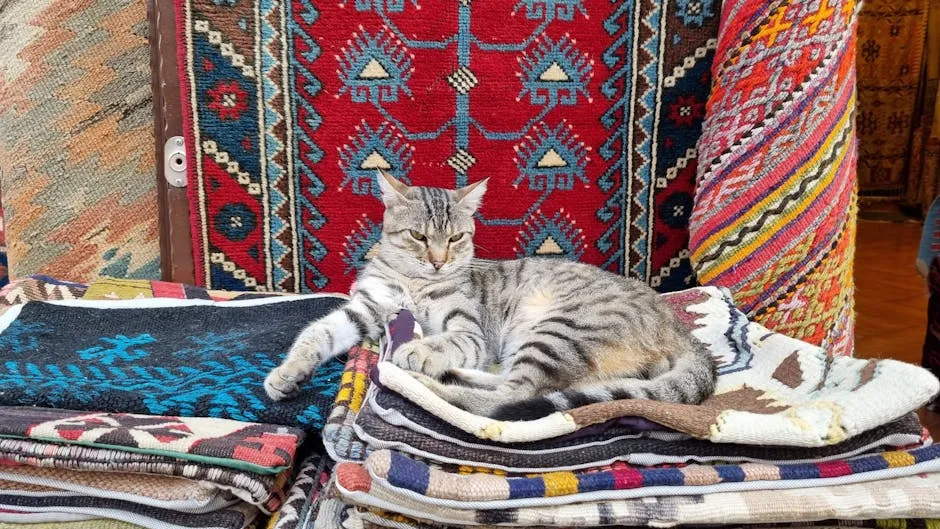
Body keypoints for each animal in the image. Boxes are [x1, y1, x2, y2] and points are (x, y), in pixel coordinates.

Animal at [266, 171, 720, 418]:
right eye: (418, 236)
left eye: (455, 238)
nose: (438, 262)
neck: (414, 281)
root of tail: (681, 330)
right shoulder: (366, 307)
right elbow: (316, 334)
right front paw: (287, 373)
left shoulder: (470, 331)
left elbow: (447, 340)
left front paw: (418, 351)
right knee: (510, 383)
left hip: (561, 330)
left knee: (513, 394)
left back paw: (423, 381)